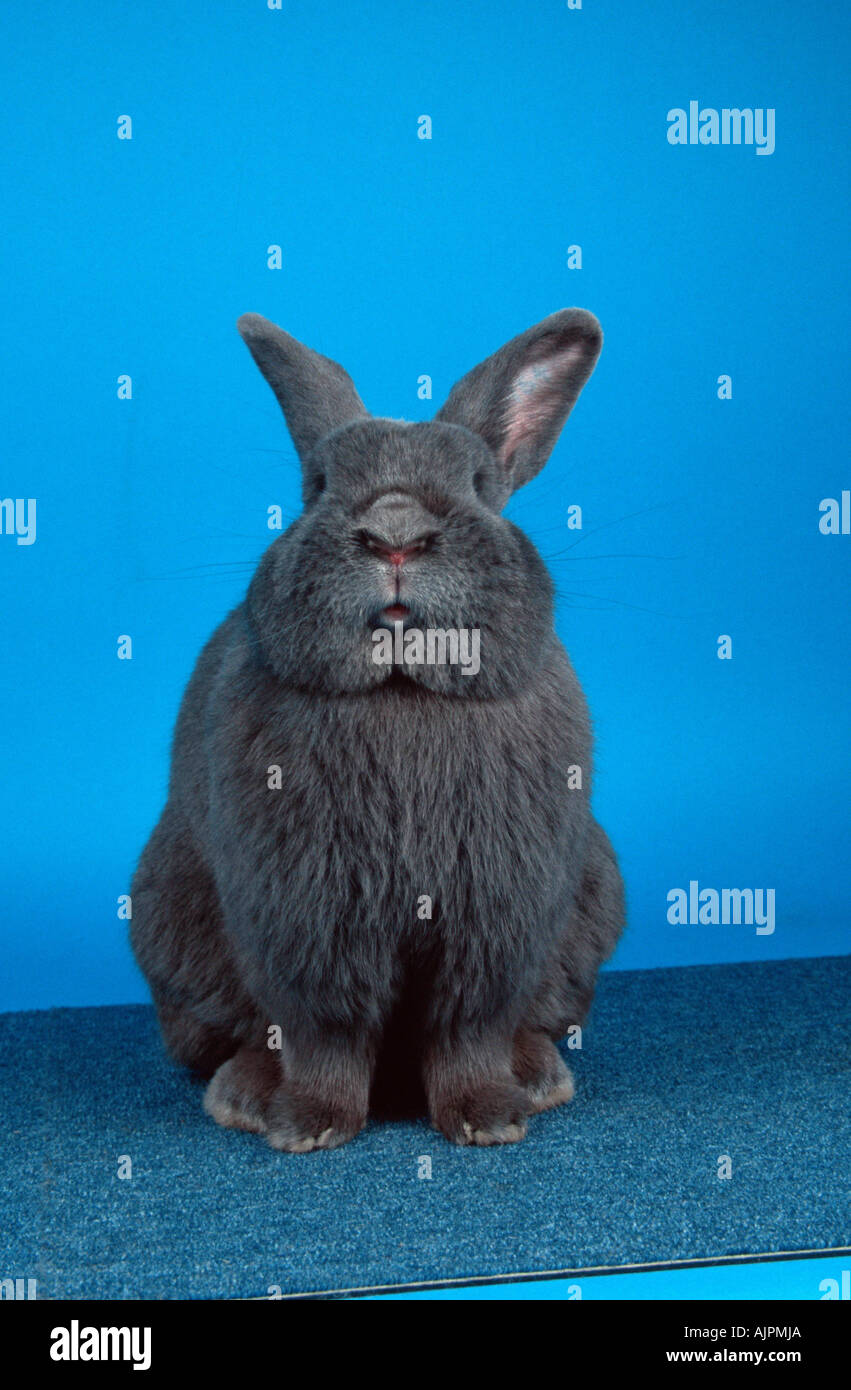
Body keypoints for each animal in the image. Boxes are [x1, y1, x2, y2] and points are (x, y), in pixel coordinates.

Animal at [130, 308, 625, 1151]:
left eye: (479, 486)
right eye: (318, 486)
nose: (395, 532)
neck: (401, 688)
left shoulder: (493, 920)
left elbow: (469, 1030)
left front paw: (488, 1119)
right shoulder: (306, 919)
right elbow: (320, 1032)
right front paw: (309, 1126)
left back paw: (538, 1077)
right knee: (237, 1034)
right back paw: (244, 1095)